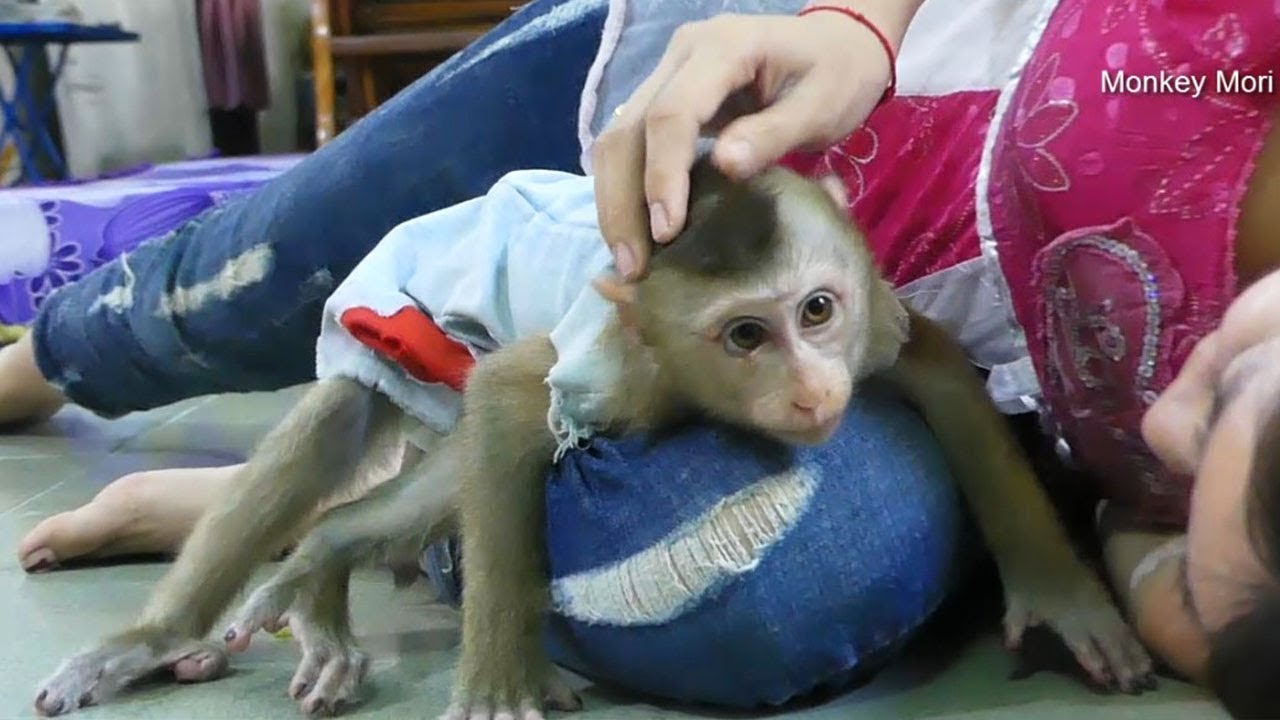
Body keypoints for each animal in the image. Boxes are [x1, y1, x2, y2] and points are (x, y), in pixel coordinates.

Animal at [33, 159, 1154, 719]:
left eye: (818, 311)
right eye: (746, 335)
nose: (807, 391)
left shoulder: (874, 327)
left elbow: (932, 364)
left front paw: (1058, 595)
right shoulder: (609, 367)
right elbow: (508, 398)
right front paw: (498, 680)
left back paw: (321, 565)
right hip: (383, 306)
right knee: (357, 423)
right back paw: (166, 633)